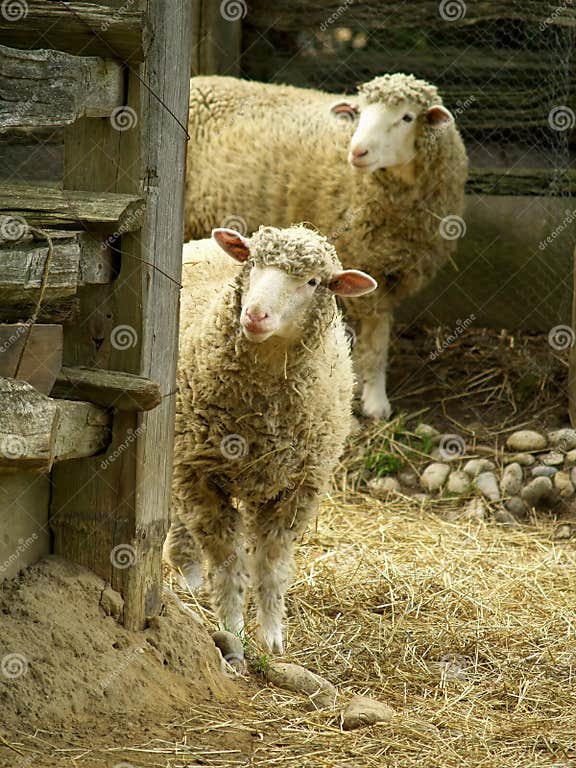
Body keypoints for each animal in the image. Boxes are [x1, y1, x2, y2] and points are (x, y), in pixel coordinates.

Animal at [164, 225, 376, 653]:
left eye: (313, 282)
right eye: (254, 263)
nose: (254, 315)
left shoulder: (297, 490)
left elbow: (272, 564)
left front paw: (273, 636)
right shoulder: (199, 475)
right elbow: (227, 560)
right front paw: (232, 628)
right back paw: (188, 571)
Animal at [184, 73, 468, 420]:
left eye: (407, 117)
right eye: (359, 112)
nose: (357, 152)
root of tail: (199, 80)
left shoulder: (393, 270)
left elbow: (378, 336)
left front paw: (371, 392)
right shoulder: (366, 262)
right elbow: (375, 338)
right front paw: (373, 398)